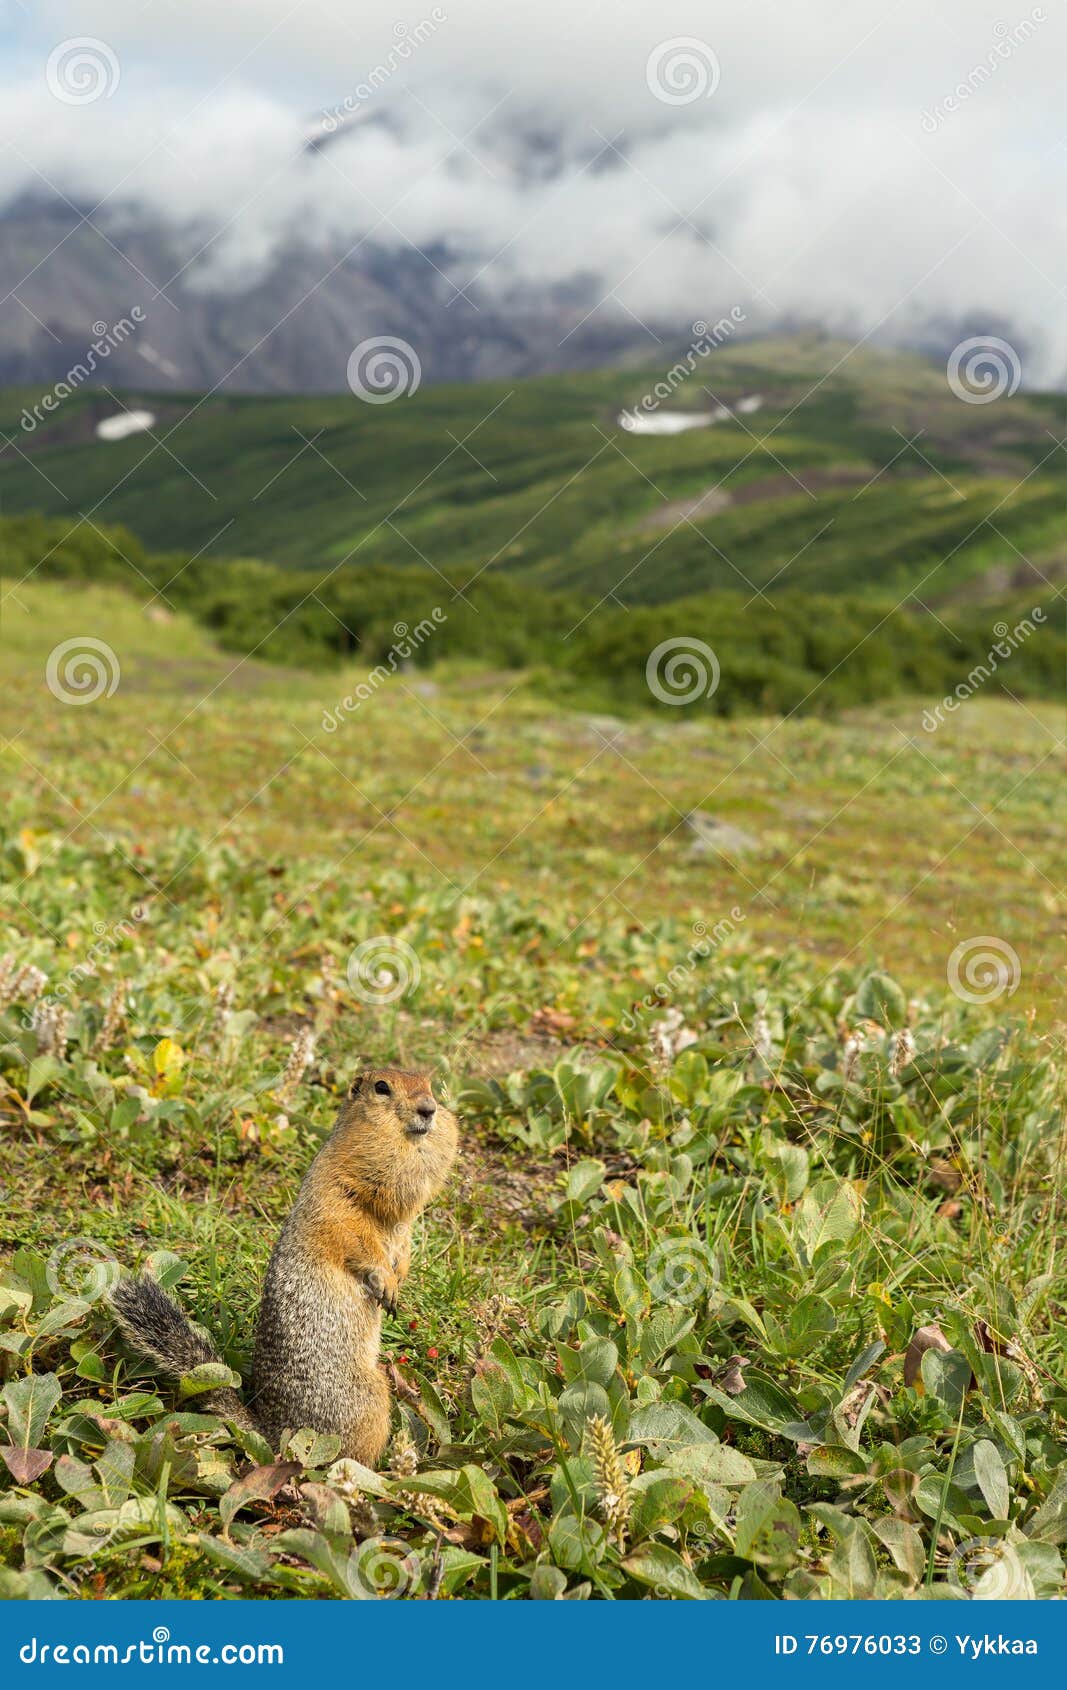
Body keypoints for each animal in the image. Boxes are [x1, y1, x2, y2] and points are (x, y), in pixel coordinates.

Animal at [109, 1066, 458, 1466]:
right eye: (381, 1087)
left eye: (431, 1085)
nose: (429, 1109)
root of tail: (272, 1433)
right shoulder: (338, 1199)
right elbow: (355, 1238)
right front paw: (385, 1280)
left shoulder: (402, 1225)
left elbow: (404, 1243)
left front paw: (399, 1276)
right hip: (367, 1399)